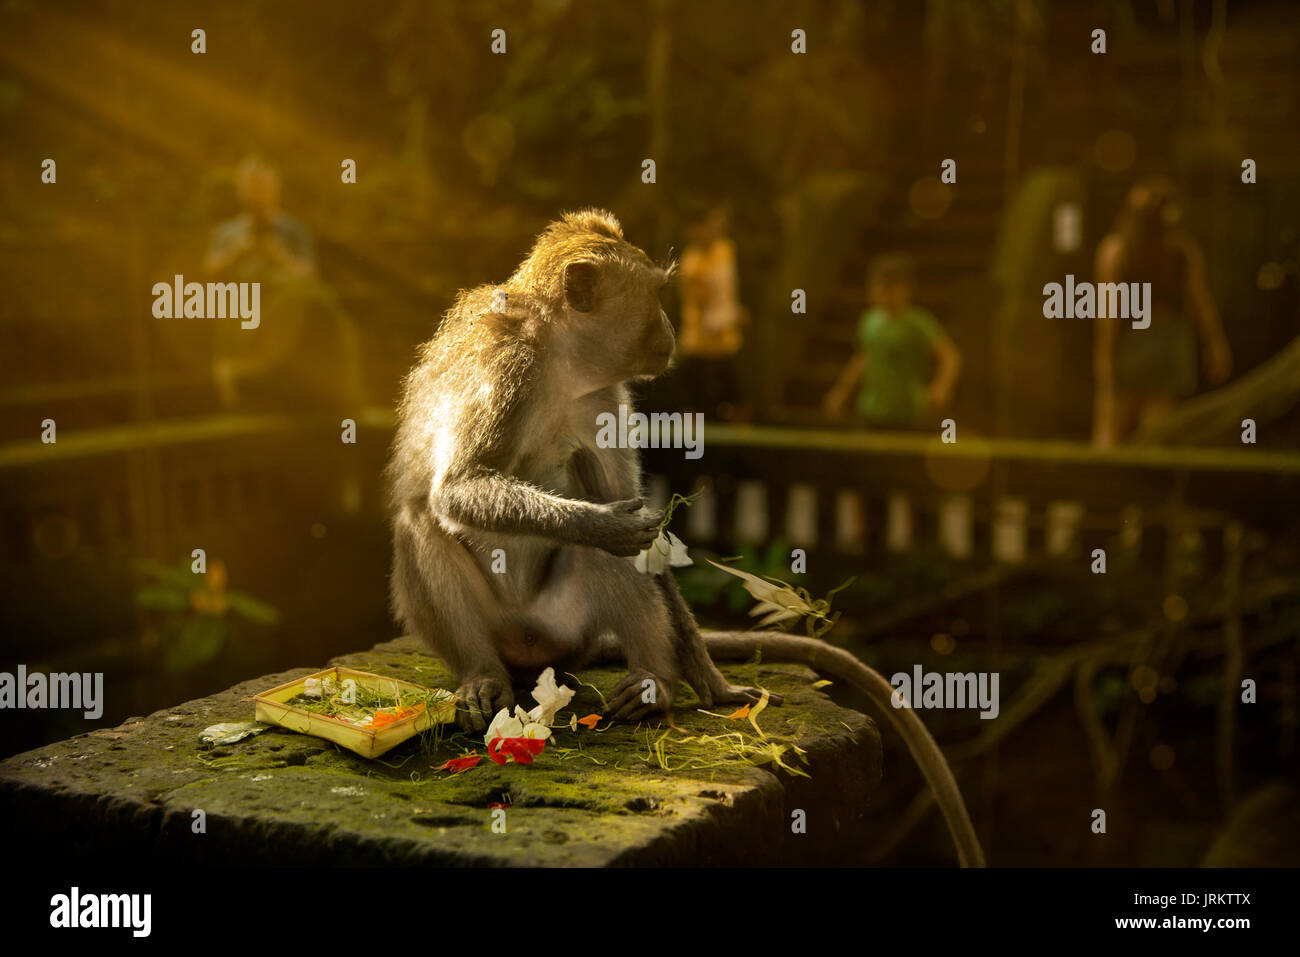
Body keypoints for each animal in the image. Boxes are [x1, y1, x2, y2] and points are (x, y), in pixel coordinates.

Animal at [386, 209, 985, 867]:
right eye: (653, 294)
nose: (672, 328)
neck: (560, 363)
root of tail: (538, 655)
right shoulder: (510, 369)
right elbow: (458, 489)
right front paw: (603, 522)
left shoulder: (605, 397)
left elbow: (636, 530)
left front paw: (715, 686)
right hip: (496, 634)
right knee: (421, 524)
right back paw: (484, 675)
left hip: (565, 626)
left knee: (608, 567)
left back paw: (655, 682)